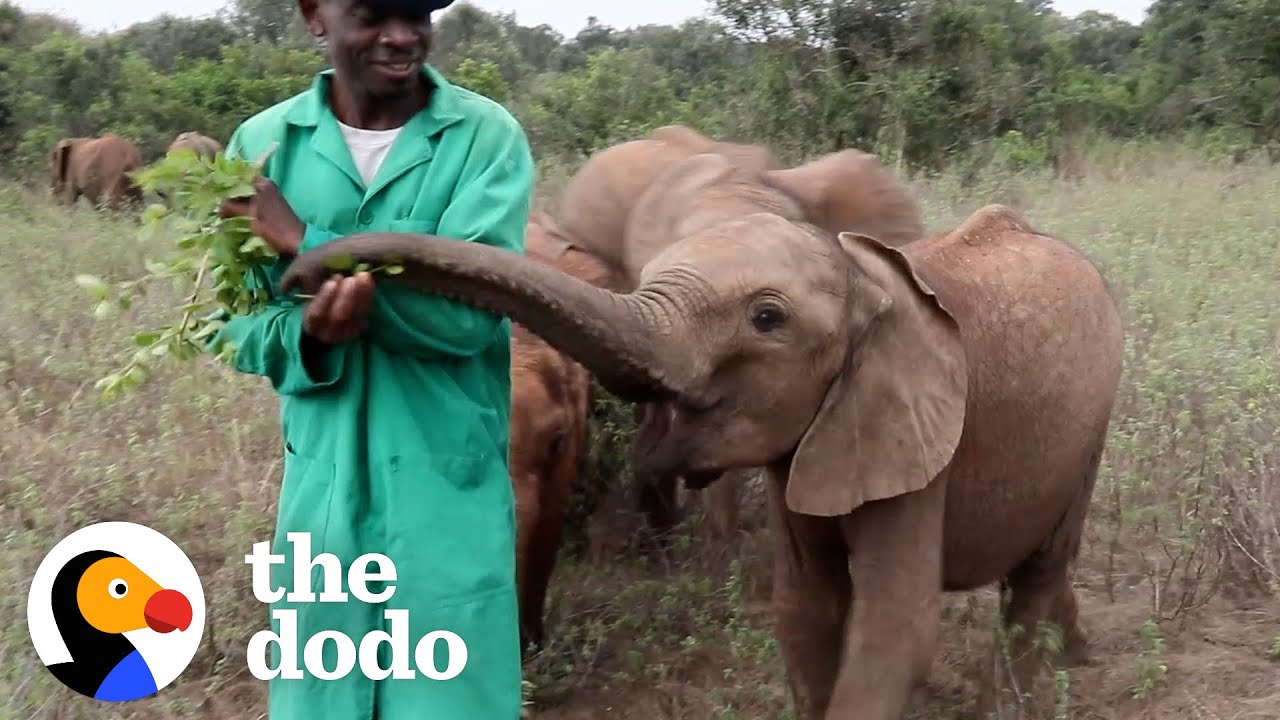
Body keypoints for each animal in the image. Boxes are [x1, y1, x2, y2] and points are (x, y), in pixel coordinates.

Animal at [278, 149, 1125, 719]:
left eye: (767, 318)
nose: (302, 280)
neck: (863, 281)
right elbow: (806, 610)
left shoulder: (913, 436)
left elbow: (893, 632)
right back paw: (1079, 651)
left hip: (1095, 417)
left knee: (1039, 571)